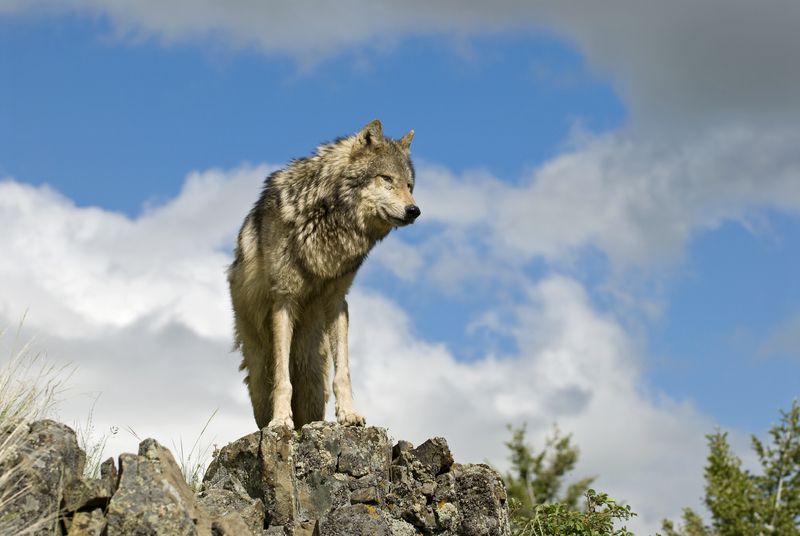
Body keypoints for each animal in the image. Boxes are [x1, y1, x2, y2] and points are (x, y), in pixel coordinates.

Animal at [228, 120, 419, 430]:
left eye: (409, 185)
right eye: (386, 178)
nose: (415, 210)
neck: (329, 218)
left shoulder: (337, 301)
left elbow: (344, 372)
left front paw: (349, 414)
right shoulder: (284, 299)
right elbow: (282, 379)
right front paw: (281, 420)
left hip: (312, 375)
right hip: (259, 370)